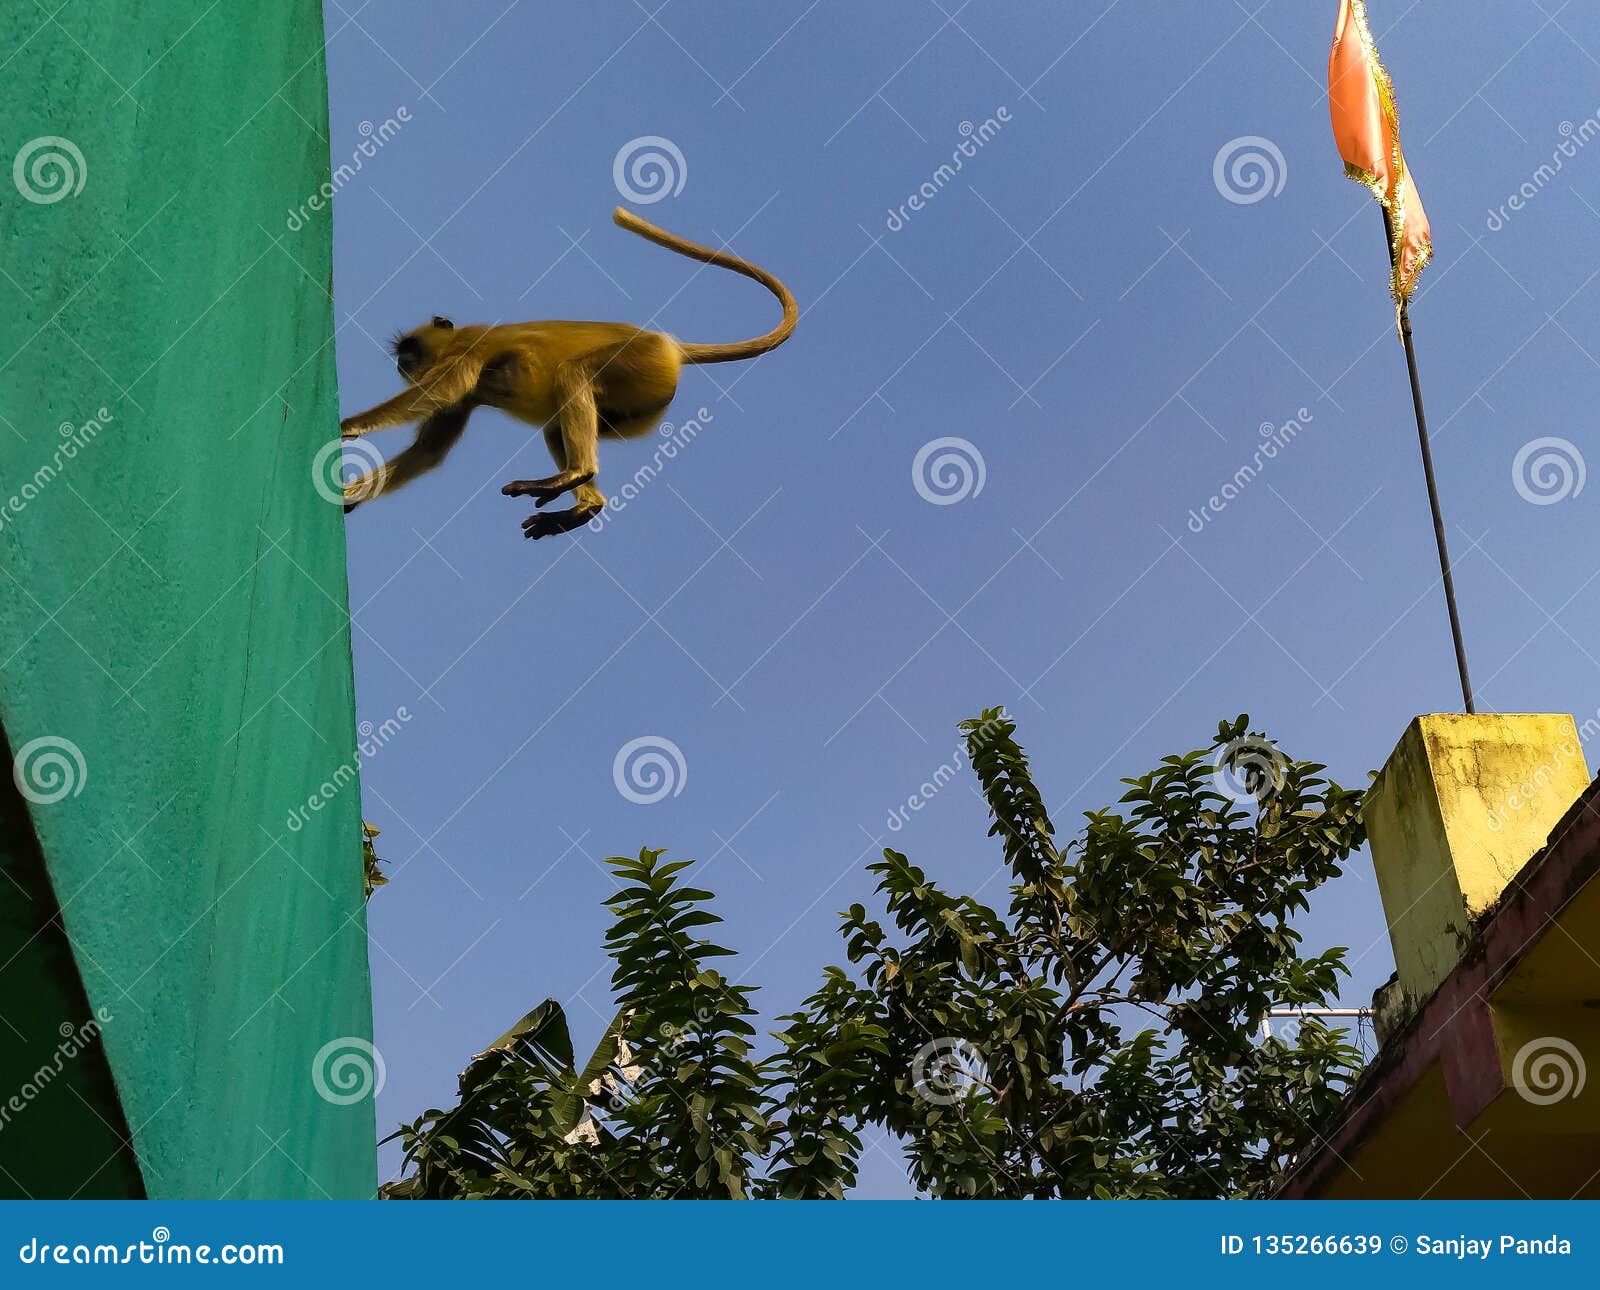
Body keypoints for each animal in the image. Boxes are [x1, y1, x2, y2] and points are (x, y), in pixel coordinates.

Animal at [338, 207, 797, 540]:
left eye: (410, 351)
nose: (402, 364)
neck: (455, 343)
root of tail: (670, 346)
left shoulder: (468, 351)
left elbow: (441, 392)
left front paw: (351, 425)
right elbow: (428, 451)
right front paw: (347, 495)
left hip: (639, 363)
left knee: (572, 375)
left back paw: (578, 474)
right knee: (556, 423)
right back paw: (585, 505)